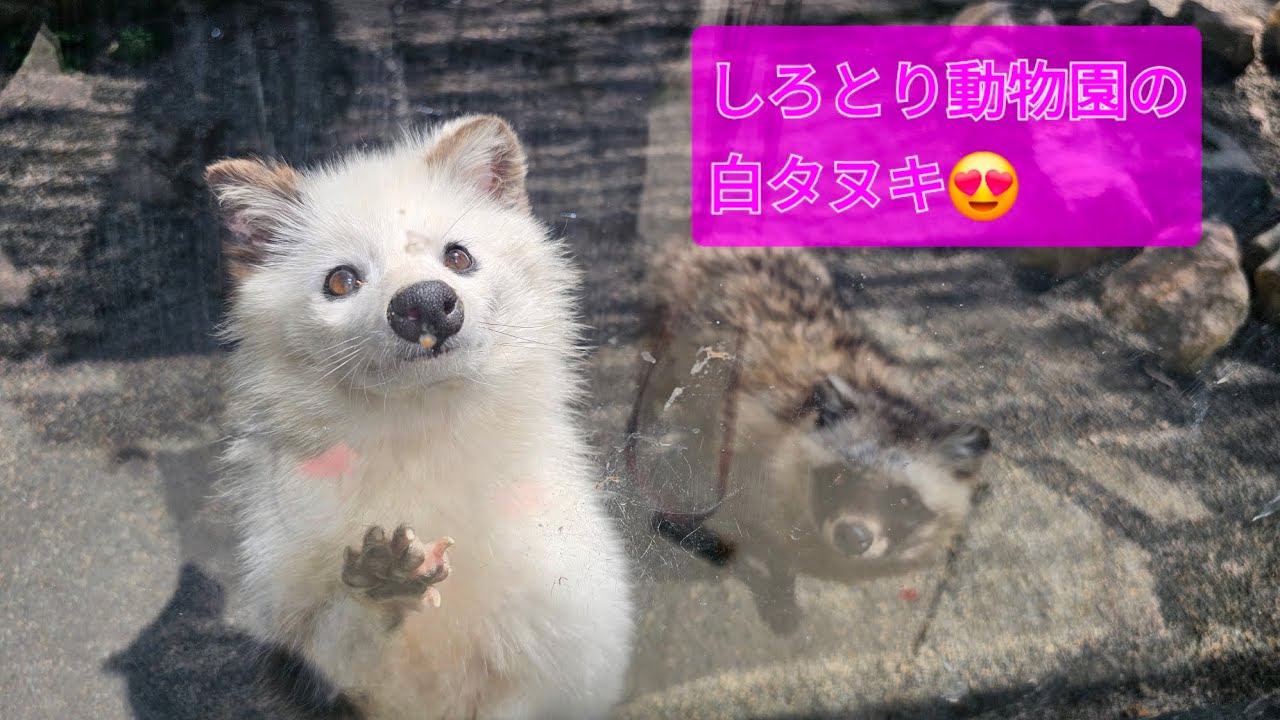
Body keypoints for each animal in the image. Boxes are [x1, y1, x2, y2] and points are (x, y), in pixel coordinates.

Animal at [206, 115, 633, 719]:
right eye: (341, 280)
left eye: (458, 257)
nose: (426, 303)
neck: (421, 437)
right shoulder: (303, 651)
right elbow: (345, 640)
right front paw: (385, 576)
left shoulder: (555, 657)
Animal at [632, 244, 991, 633]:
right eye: (839, 477)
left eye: (903, 499)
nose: (852, 537)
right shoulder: (753, 459)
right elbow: (765, 540)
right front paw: (780, 588)